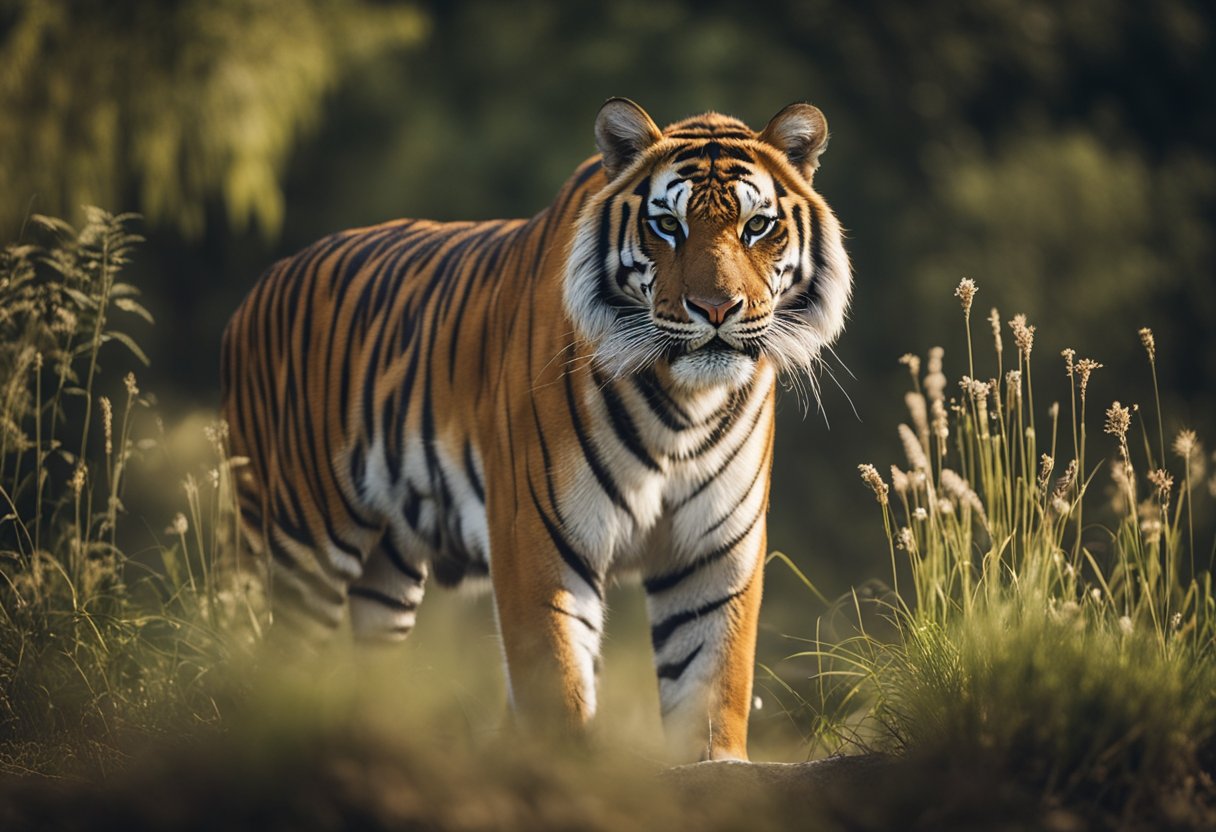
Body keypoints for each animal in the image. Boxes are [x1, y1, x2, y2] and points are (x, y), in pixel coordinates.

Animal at [220, 98, 851, 761]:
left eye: (757, 226)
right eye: (667, 226)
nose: (717, 309)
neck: (685, 404)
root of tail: (254, 294)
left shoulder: (712, 554)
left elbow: (712, 688)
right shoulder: (540, 538)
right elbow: (557, 687)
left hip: (385, 573)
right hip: (300, 548)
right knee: (273, 664)